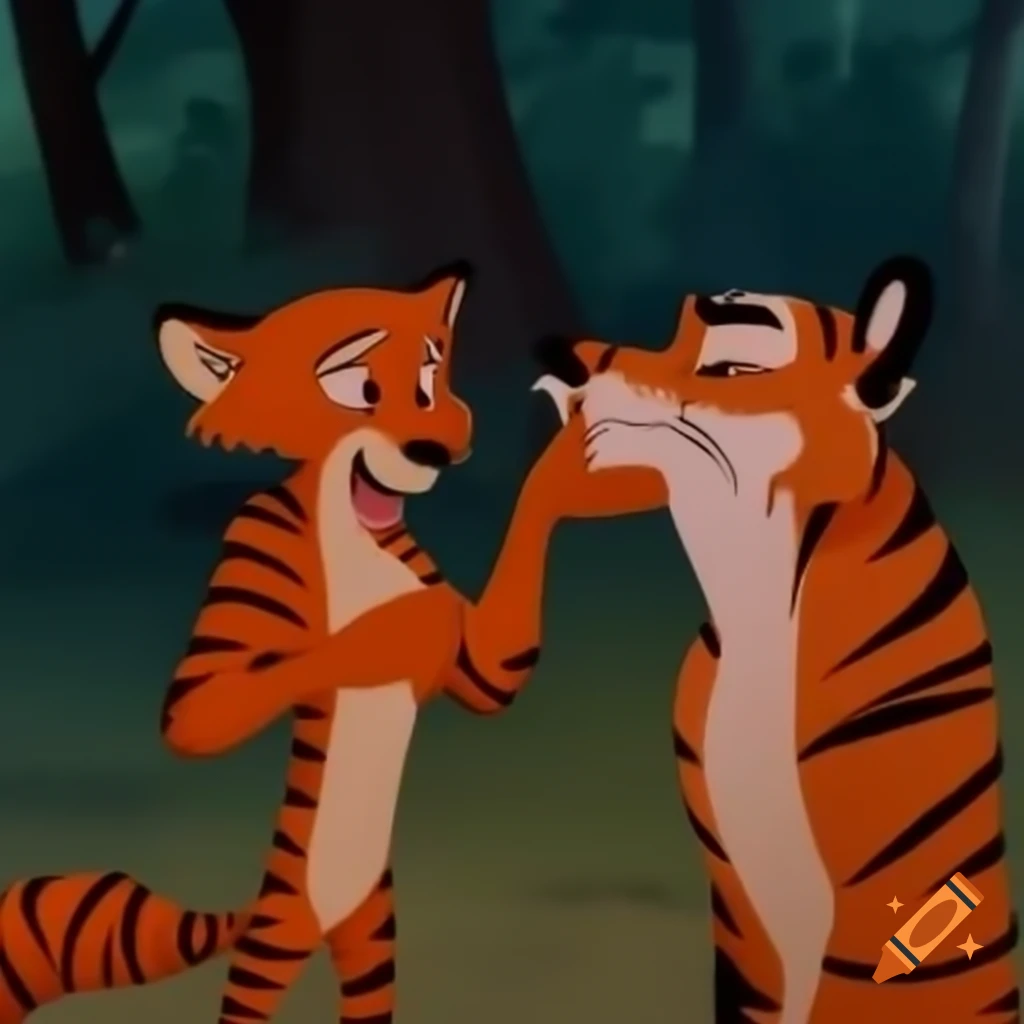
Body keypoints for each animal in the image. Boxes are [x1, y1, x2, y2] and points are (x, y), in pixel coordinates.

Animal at [0, 262, 569, 1023]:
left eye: (428, 382)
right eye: (359, 390)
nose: (432, 448)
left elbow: (487, 677)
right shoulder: (252, 545)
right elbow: (207, 706)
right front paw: (393, 631)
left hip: (370, 932)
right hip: (279, 931)